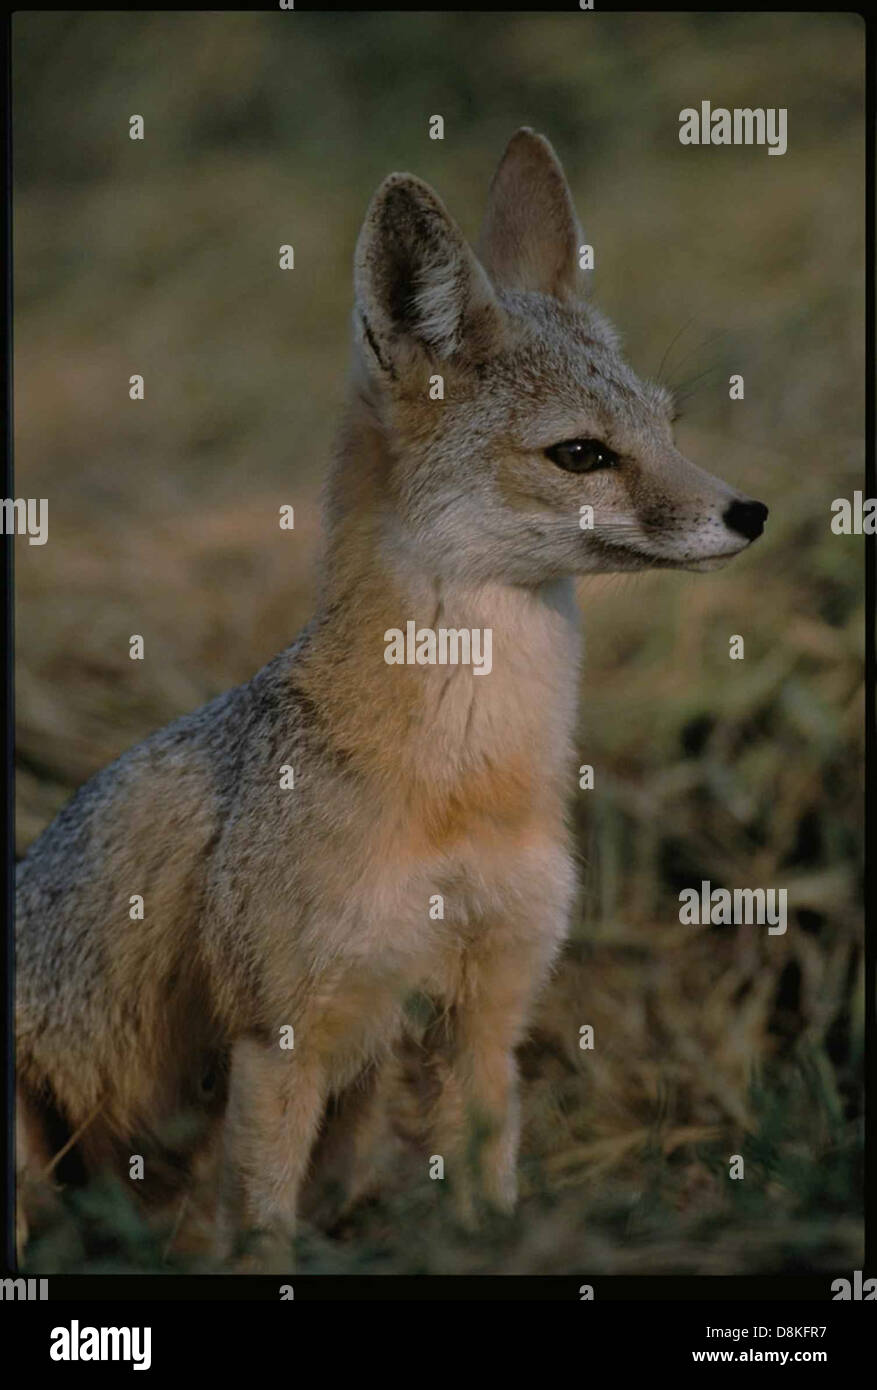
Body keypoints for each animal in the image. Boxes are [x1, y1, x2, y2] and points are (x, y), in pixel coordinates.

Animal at [15, 128, 767, 1266]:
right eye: (582, 454)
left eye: (669, 427)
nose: (749, 512)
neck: (462, 783)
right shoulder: (279, 1034)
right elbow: (263, 1229)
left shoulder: (488, 1010)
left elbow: (485, 1190)